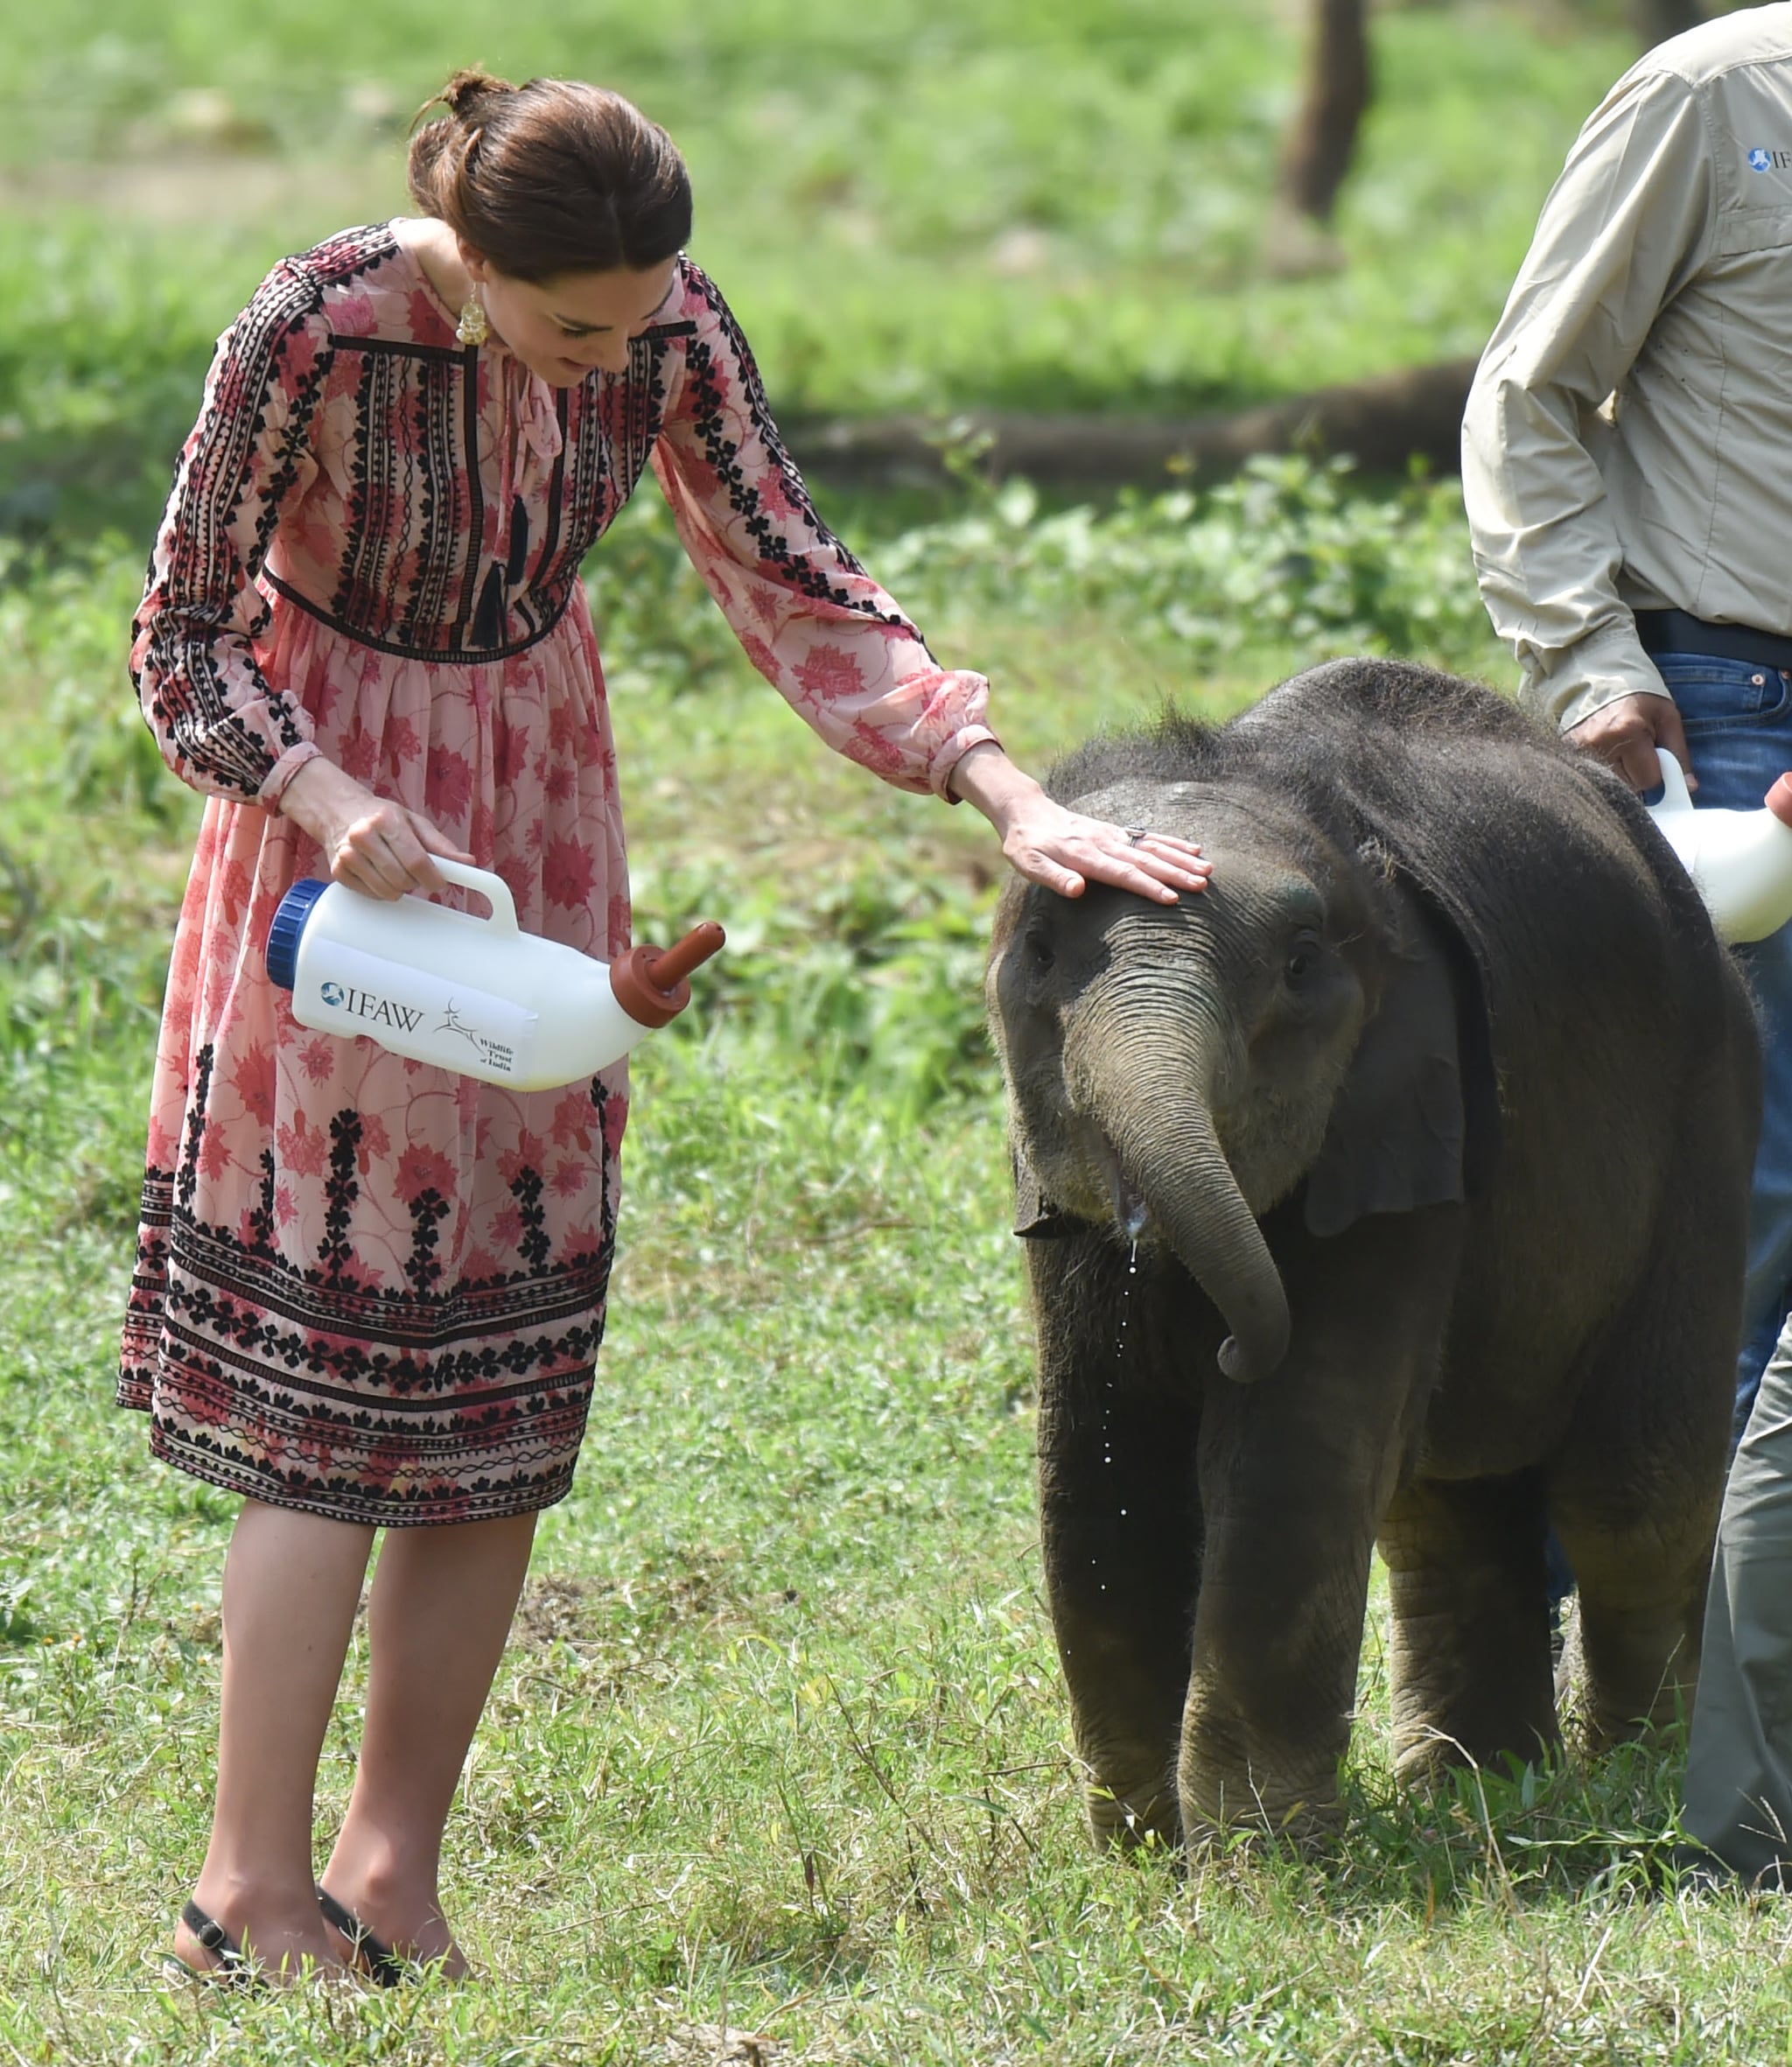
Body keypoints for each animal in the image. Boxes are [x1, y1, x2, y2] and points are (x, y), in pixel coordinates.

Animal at [986, 658, 1760, 1850]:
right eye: (1033, 956)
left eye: (1301, 970)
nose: (1226, 1346)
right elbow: (1096, 1457)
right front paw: (1137, 1852)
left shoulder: (1408, 1118)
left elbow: (1291, 1456)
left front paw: (1251, 1866)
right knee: (1446, 1505)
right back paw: (1476, 1784)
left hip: (1703, 1128)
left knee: (1624, 1497)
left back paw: (1633, 1776)